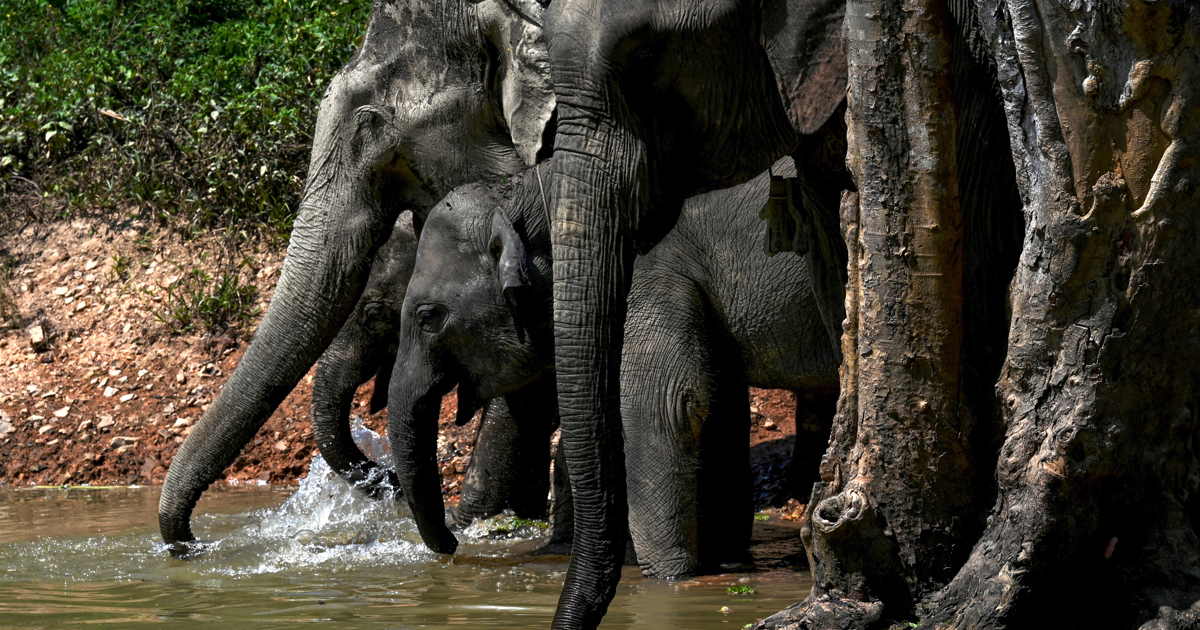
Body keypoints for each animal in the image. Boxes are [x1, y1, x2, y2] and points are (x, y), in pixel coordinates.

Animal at [386, 158, 840, 577]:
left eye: (428, 316)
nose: (451, 545)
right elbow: (718, 408)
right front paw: (722, 562)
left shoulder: (647, 272)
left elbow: (663, 405)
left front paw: (668, 580)